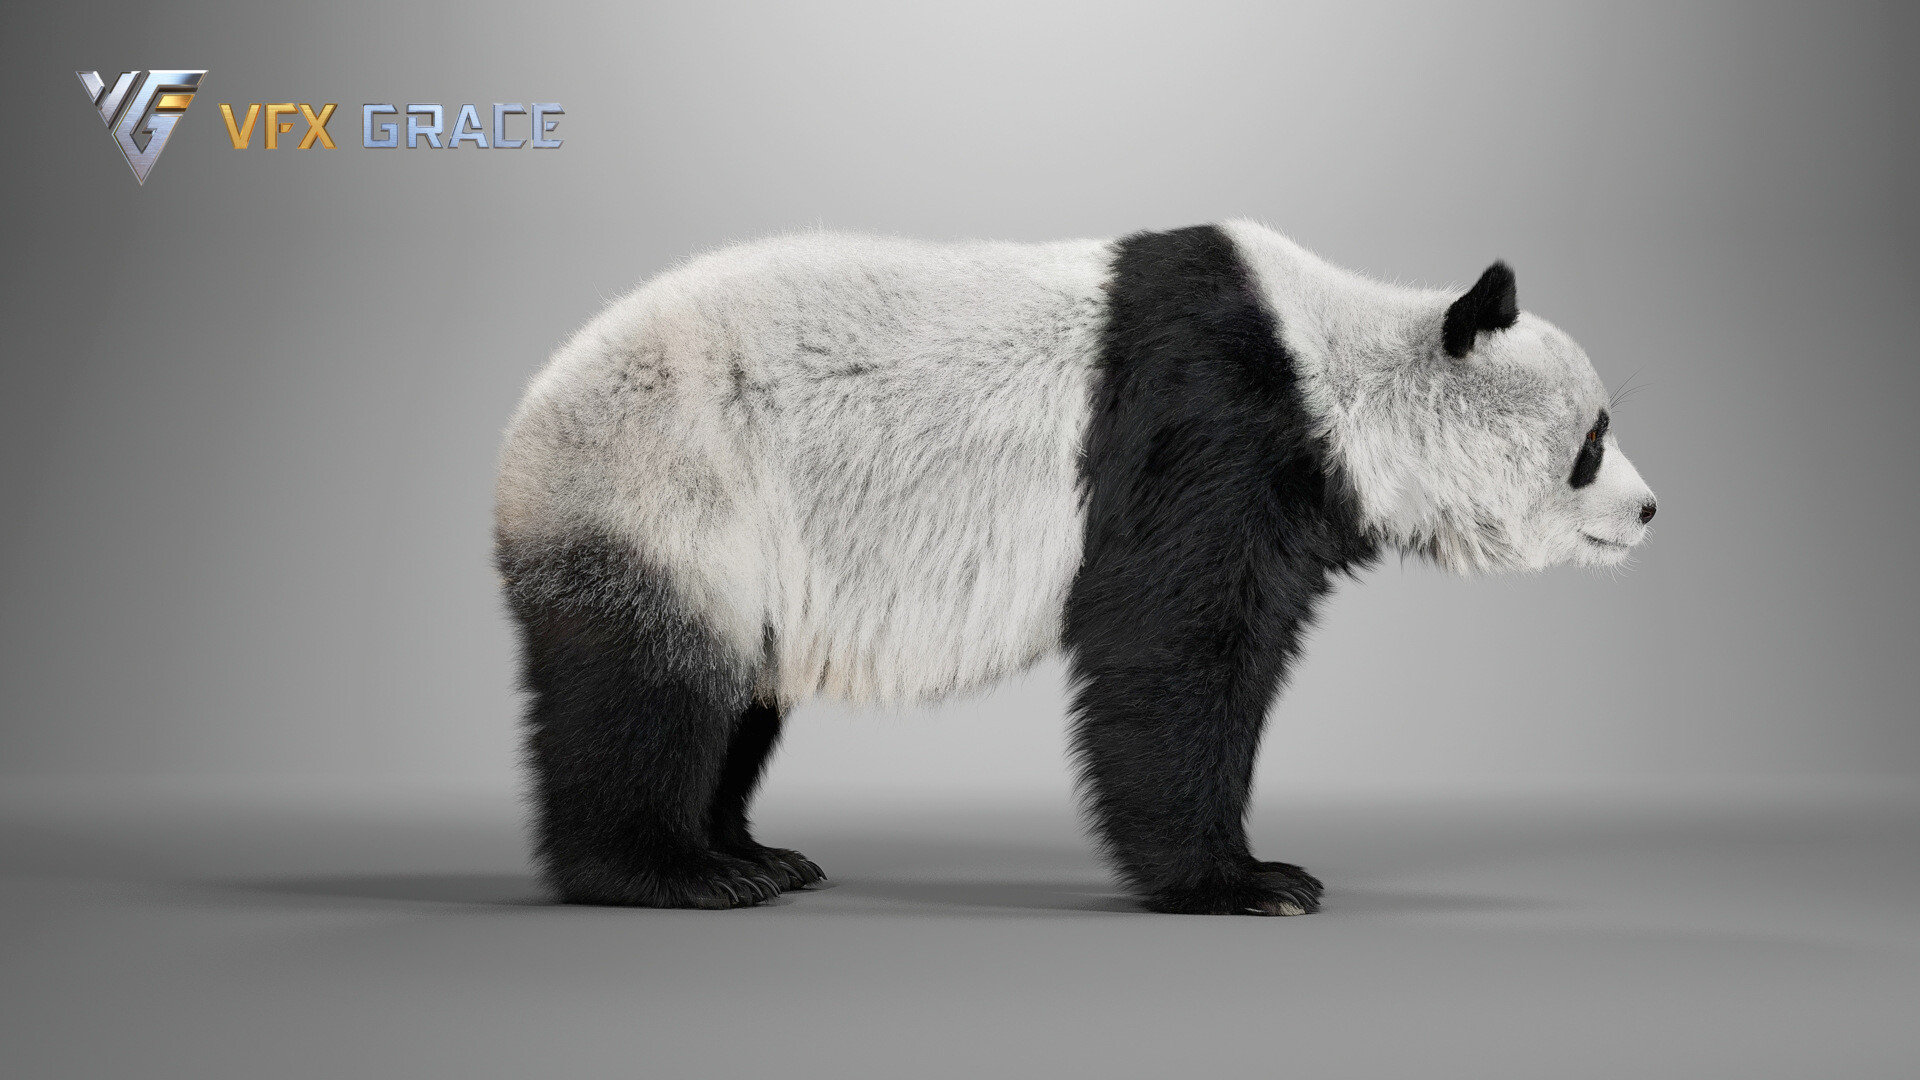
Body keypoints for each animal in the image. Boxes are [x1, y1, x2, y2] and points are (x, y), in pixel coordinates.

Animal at [495, 222, 1657, 915]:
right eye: (1592, 441)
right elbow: (1174, 652)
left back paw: (753, 856)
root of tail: (523, 433)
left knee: (738, 692)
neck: (1336, 372)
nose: (1649, 511)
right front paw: (1245, 882)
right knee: (646, 687)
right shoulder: (1212, 427)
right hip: (673, 483)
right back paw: (664, 871)